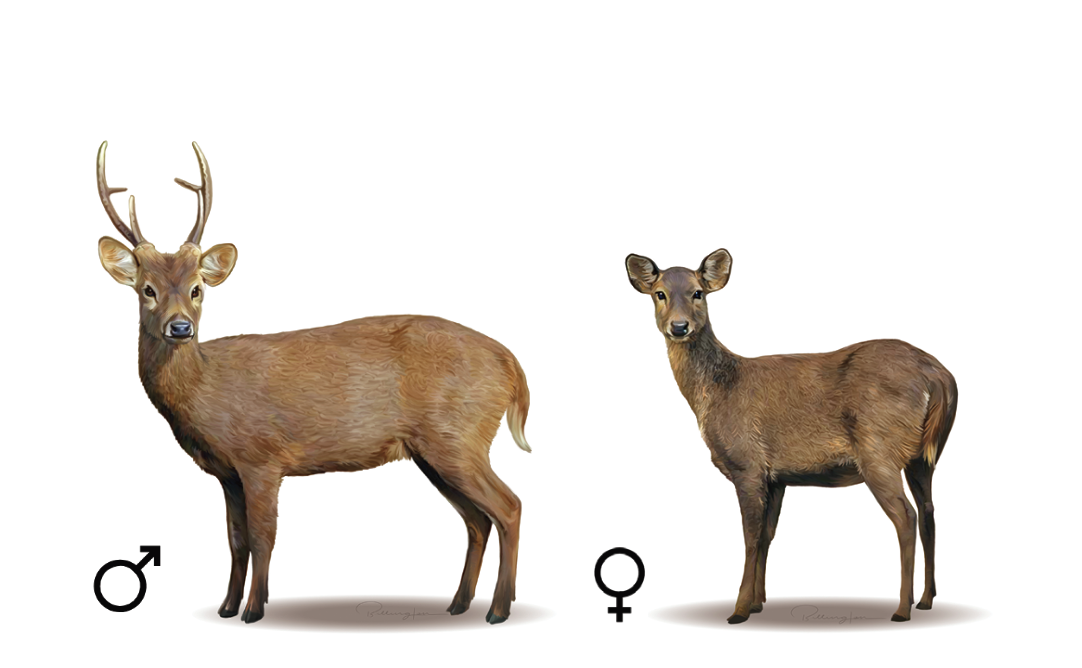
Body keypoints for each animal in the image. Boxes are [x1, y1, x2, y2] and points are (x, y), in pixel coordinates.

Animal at [95, 141, 532, 624]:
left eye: (196, 289)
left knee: (509, 506)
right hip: (434, 451)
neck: (206, 394)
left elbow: (263, 537)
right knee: (477, 520)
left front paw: (254, 609)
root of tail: (512, 364)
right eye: (147, 290)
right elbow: (235, 541)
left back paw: (499, 609)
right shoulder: (227, 472)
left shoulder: (261, 457)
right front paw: (227, 607)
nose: (180, 328)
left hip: (458, 435)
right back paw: (459, 603)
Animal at [625, 249, 957, 624]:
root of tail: (939, 377)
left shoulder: (748, 463)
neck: (715, 393)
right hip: (925, 456)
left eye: (698, 292)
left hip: (880, 450)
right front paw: (758, 602)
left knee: (906, 516)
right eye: (660, 293)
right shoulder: (778, 476)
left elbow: (750, 537)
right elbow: (768, 536)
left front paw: (739, 610)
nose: (679, 326)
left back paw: (902, 608)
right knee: (929, 511)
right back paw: (926, 600)